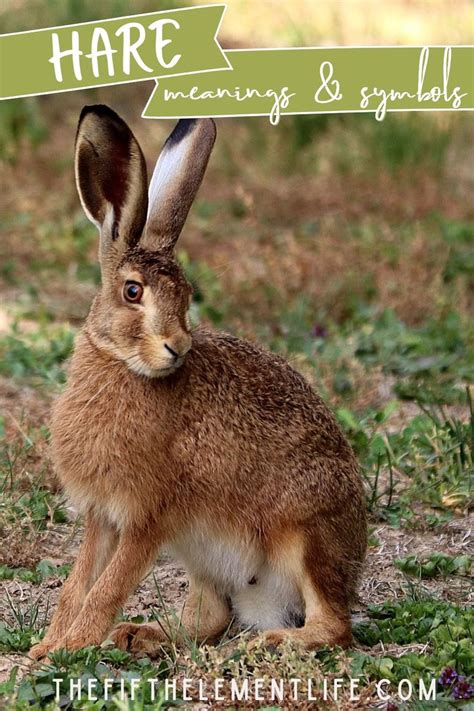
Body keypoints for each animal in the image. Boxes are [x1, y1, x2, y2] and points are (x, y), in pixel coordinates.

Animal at [29, 105, 366, 661]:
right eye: (132, 291)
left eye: (187, 294)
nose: (178, 347)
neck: (125, 367)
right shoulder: (103, 516)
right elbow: (78, 583)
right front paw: (48, 645)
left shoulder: (148, 517)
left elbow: (107, 588)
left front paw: (66, 649)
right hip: (204, 558)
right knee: (211, 620)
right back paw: (141, 635)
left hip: (304, 535)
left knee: (334, 626)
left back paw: (270, 642)